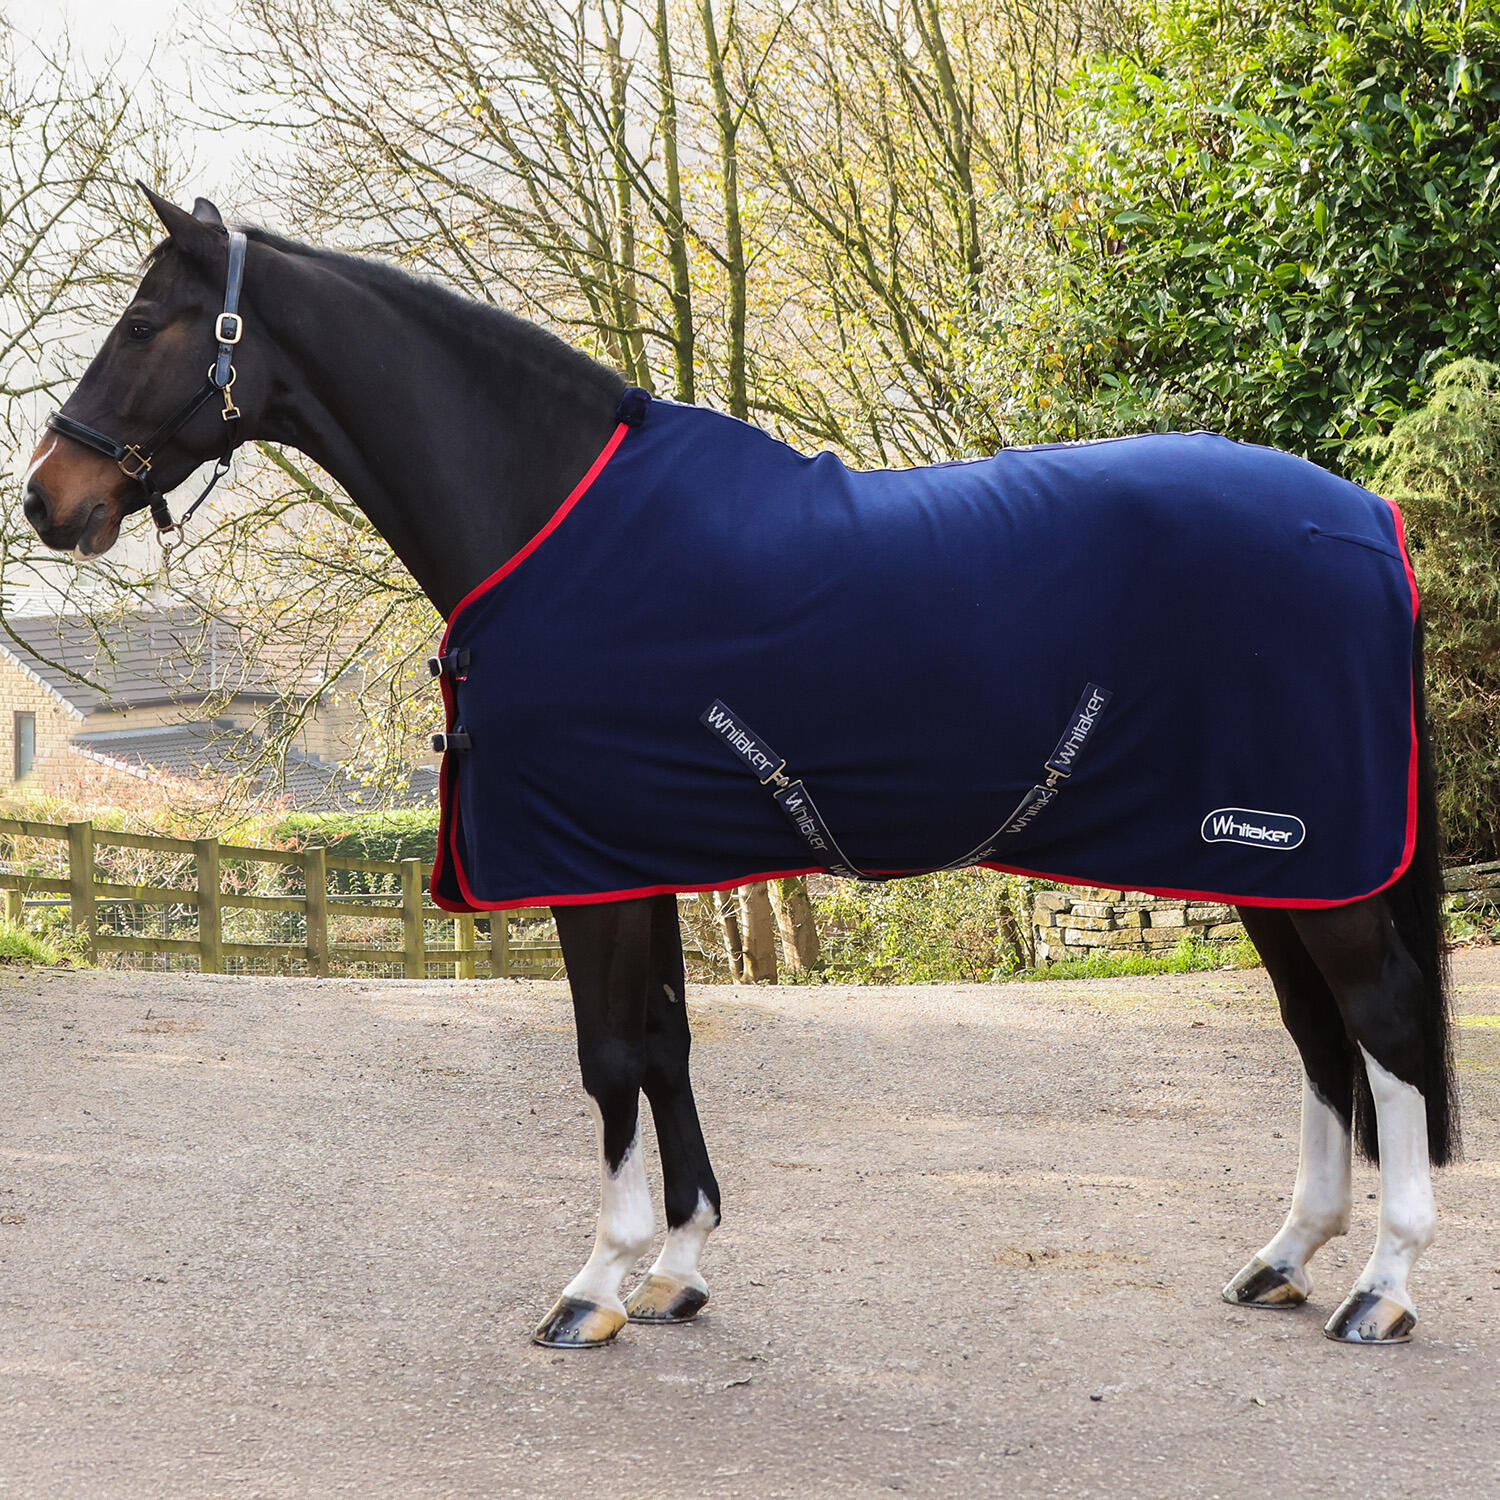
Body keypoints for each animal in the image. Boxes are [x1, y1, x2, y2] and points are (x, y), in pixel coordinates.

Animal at [22, 188, 1457, 1349]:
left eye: (146, 322)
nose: (47, 495)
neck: (547, 519)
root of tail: (1371, 520)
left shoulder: (586, 866)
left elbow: (610, 1055)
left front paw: (595, 1286)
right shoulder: (632, 851)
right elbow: (665, 1044)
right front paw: (678, 1268)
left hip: (1302, 854)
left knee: (1380, 1026)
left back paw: (1383, 1289)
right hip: (1266, 859)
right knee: (1320, 1038)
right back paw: (1285, 1258)